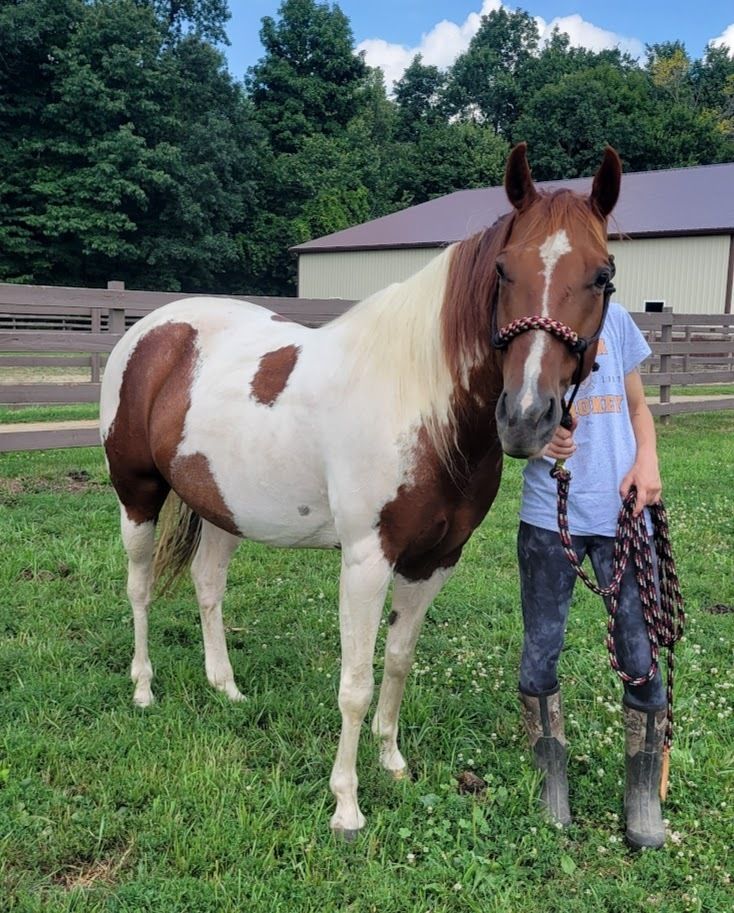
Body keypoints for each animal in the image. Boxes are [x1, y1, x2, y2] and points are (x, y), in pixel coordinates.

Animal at [100, 143, 621, 837]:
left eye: (602, 276)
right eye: (504, 270)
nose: (527, 417)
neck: (421, 404)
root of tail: (153, 329)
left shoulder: (435, 559)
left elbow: (397, 660)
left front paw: (391, 760)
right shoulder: (367, 560)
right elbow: (355, 682)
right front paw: (345, 805)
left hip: (222, 506)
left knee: (208, 584)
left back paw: (226, 688)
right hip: (137, 493)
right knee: (138, 588)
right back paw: (143, 689)